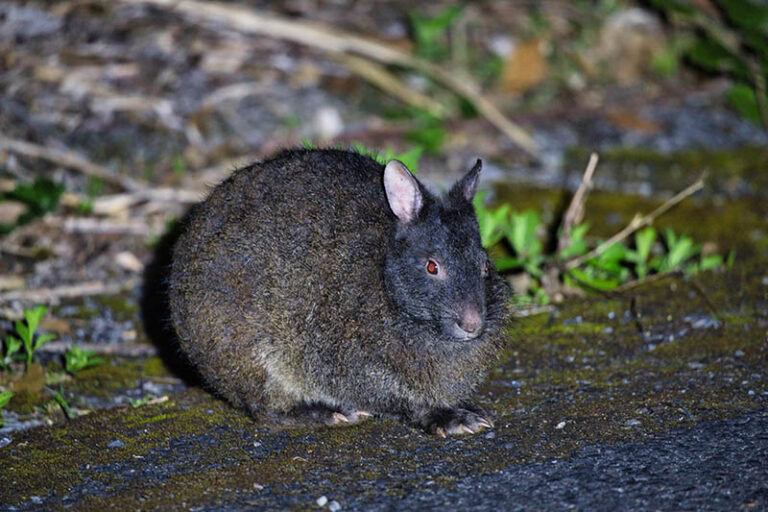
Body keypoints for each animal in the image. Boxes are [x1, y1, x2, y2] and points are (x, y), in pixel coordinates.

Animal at [169, 148, 510, 436]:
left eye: (484, 265)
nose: (473, 324)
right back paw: (324, 413)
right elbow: (401, 401)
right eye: (431, 267)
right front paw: (448, 417)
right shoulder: (355, 366)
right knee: (265, 412)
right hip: (255, 356)